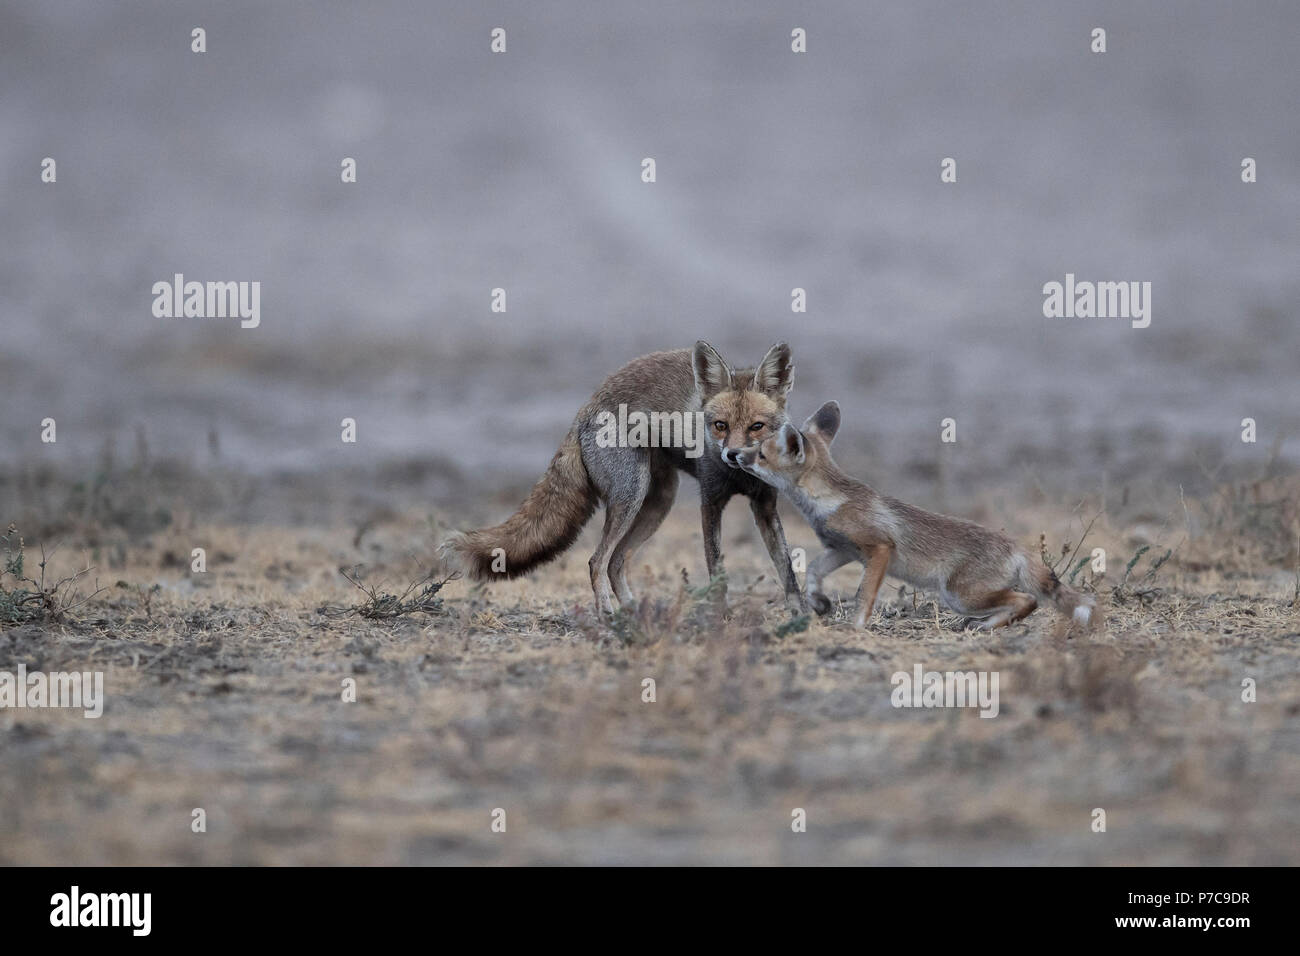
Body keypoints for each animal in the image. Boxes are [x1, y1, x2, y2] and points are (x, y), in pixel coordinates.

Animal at [440, 341, 808, 616]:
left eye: (756, 427)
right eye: (720, 426)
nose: (731, 456)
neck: (740, 478)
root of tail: (586, 407)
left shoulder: (765, 505)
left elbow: (787, 568)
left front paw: (800, 612)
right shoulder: (710, 503)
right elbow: (717, 568)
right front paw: (723, 616)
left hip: (659, 501)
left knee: (616, 563)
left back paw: (636, 613)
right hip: (631, 495)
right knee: (597, 561)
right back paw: (608, 616)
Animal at [733, 400, 1097, 631]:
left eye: (760, 453)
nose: (733, 454)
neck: (829, 501)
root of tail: (1017, 546)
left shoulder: (879, 549)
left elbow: (863, 596)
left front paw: (856, 628)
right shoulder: (842, 550)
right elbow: (812, 572)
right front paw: (819, 602)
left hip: (959, 594)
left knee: (1028, 600)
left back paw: (989, 625)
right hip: (961, 597)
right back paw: (986, 625)